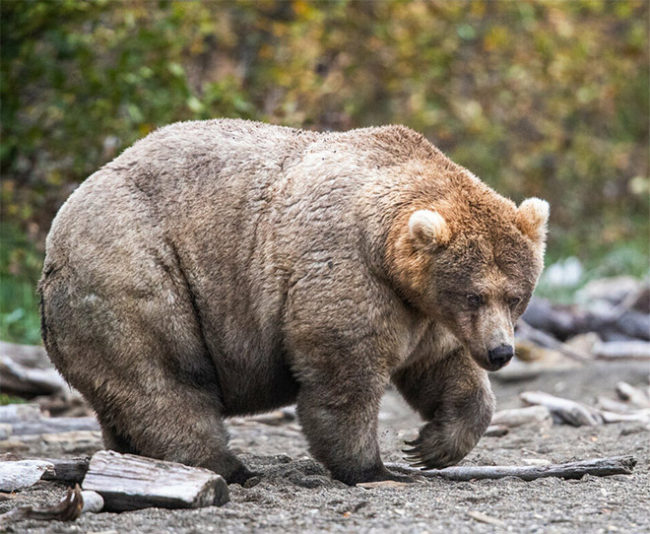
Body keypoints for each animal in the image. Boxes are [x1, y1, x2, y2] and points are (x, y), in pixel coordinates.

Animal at [39, 119, 548, 485]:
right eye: (474, 294)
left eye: (515, 295)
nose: (500, 352)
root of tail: (58, 230)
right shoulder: (347, 271)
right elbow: (344, 374)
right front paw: (373, 469)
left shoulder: (424, 312)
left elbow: (443, 368)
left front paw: (431, 446)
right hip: (137, 274)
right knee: (164, 378)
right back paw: (228, 467)